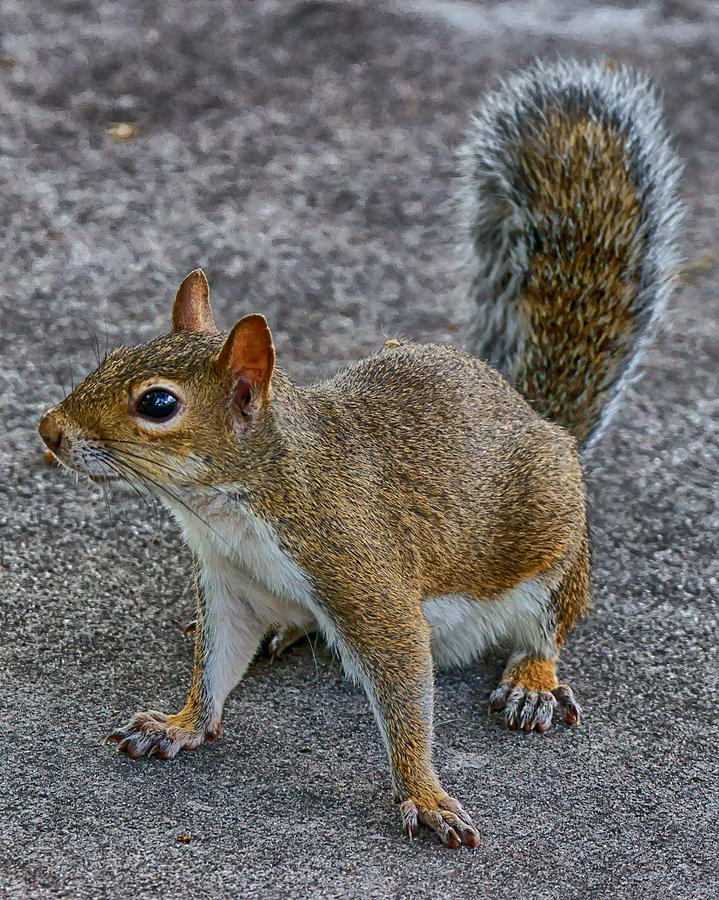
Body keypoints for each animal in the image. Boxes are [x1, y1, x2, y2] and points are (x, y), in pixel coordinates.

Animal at [37, 59, 682, 848]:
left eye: (157, 404)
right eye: (110, 356)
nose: (49, 431)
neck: (231, 505)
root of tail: (535, 415)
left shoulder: (358, 569)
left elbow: (402, 679)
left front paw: (425, 796)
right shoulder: (228, 581)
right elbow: (216, 661)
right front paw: (181, 723)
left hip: (553, 536)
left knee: (549, 622)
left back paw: (531, 682)